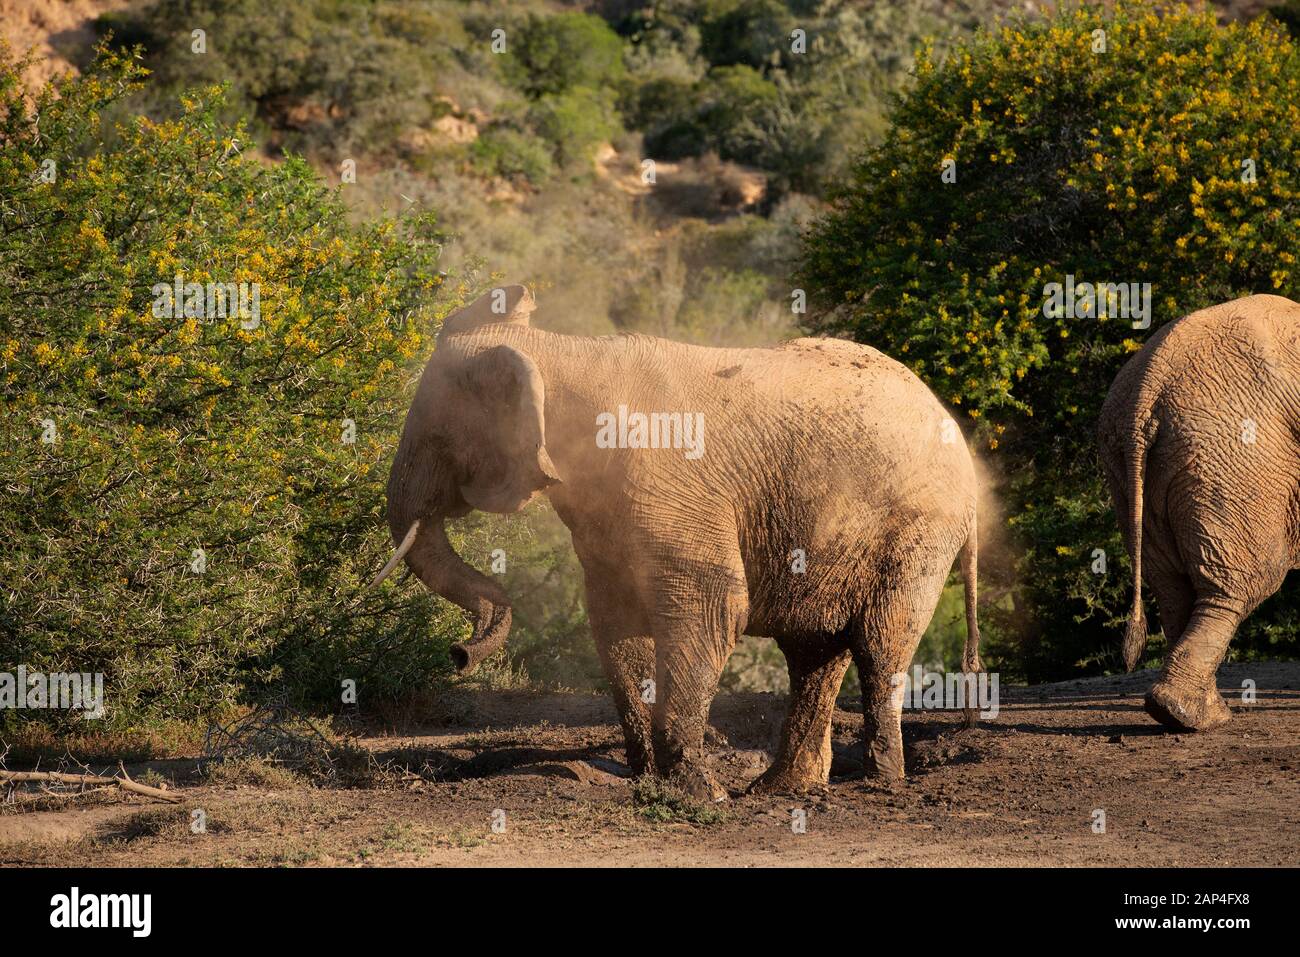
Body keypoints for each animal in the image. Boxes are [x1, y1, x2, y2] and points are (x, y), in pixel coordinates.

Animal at [372, 284, 982, 798]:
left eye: (436, 438)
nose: (457, 654)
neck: (556, 351)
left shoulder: (672, 483)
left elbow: (713, 607)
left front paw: (697, 791)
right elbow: (616, 622)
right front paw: (651, 782)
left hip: (920, 527)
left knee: (880, 643)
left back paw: (878, 783)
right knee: (813, 650)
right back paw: (783, 790)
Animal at [1099, 294, 1300, 732]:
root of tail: (1148, 387)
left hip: (1126, 467)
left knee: (1171, 586)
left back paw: (1181, 713)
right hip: (1237, 457)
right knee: (1245, 581)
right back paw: (1196, 716)